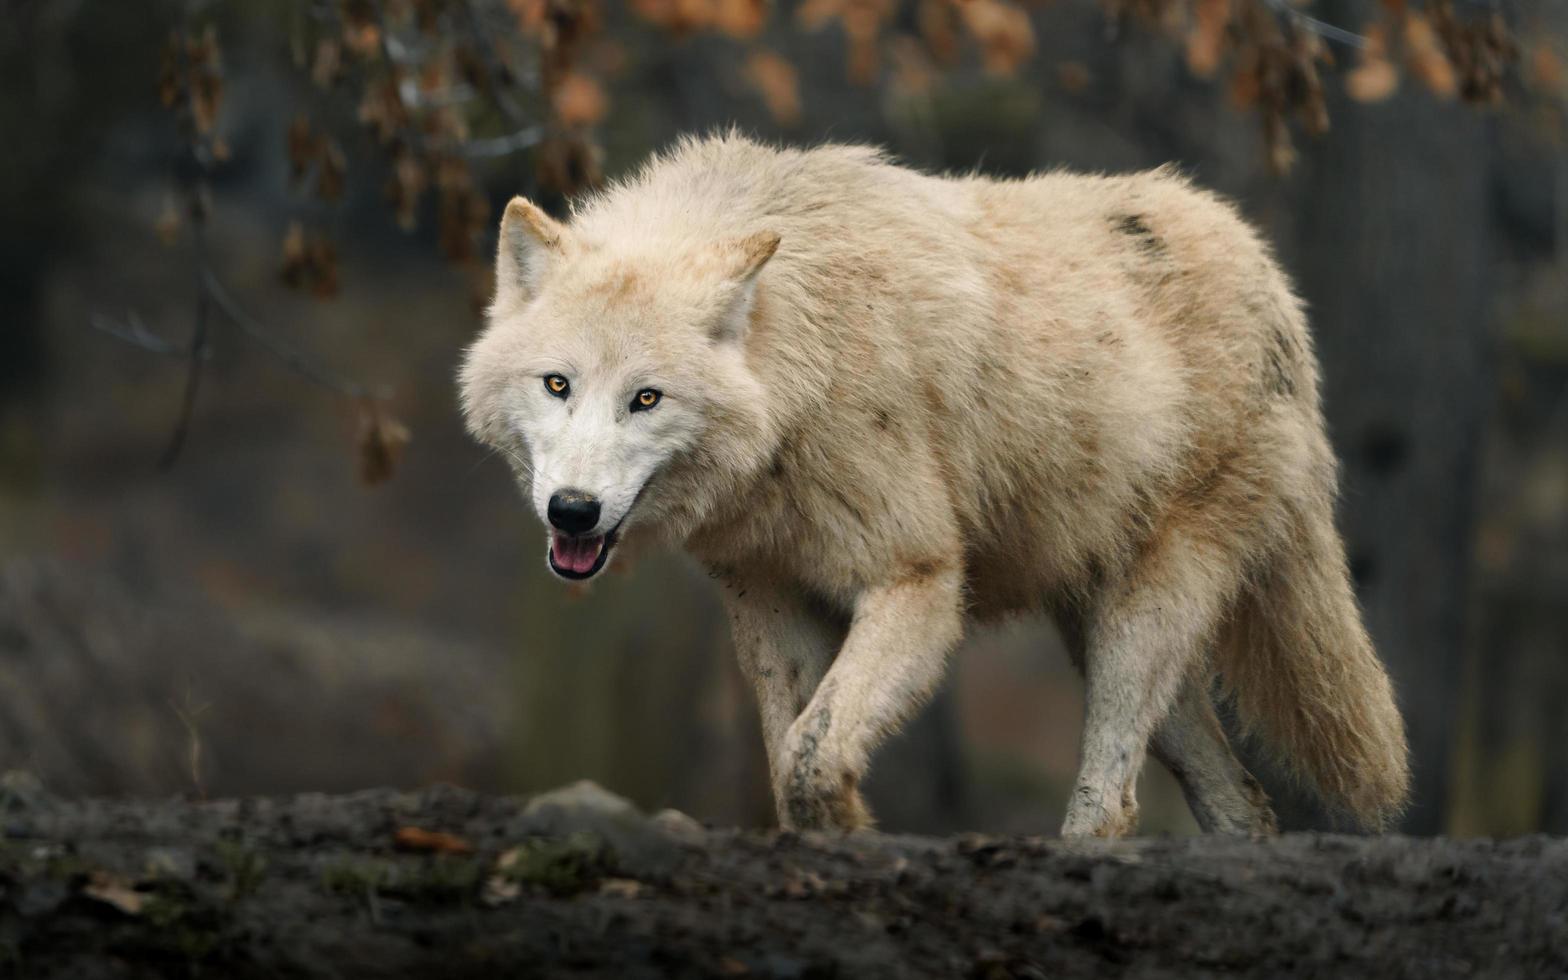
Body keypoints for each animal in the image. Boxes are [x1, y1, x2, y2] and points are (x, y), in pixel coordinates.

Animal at [460, 133, 1410, 837]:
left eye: (646, 398)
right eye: (558, 385)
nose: (572, 511)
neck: (804, 368)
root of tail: (1269, 272)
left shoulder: (917, 581)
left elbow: (812, 755)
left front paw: (854, 829)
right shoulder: (770, 596)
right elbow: (789, 752)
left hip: (1141, 620)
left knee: (1112, 806)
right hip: (1112, 636)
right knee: (1241, 807)